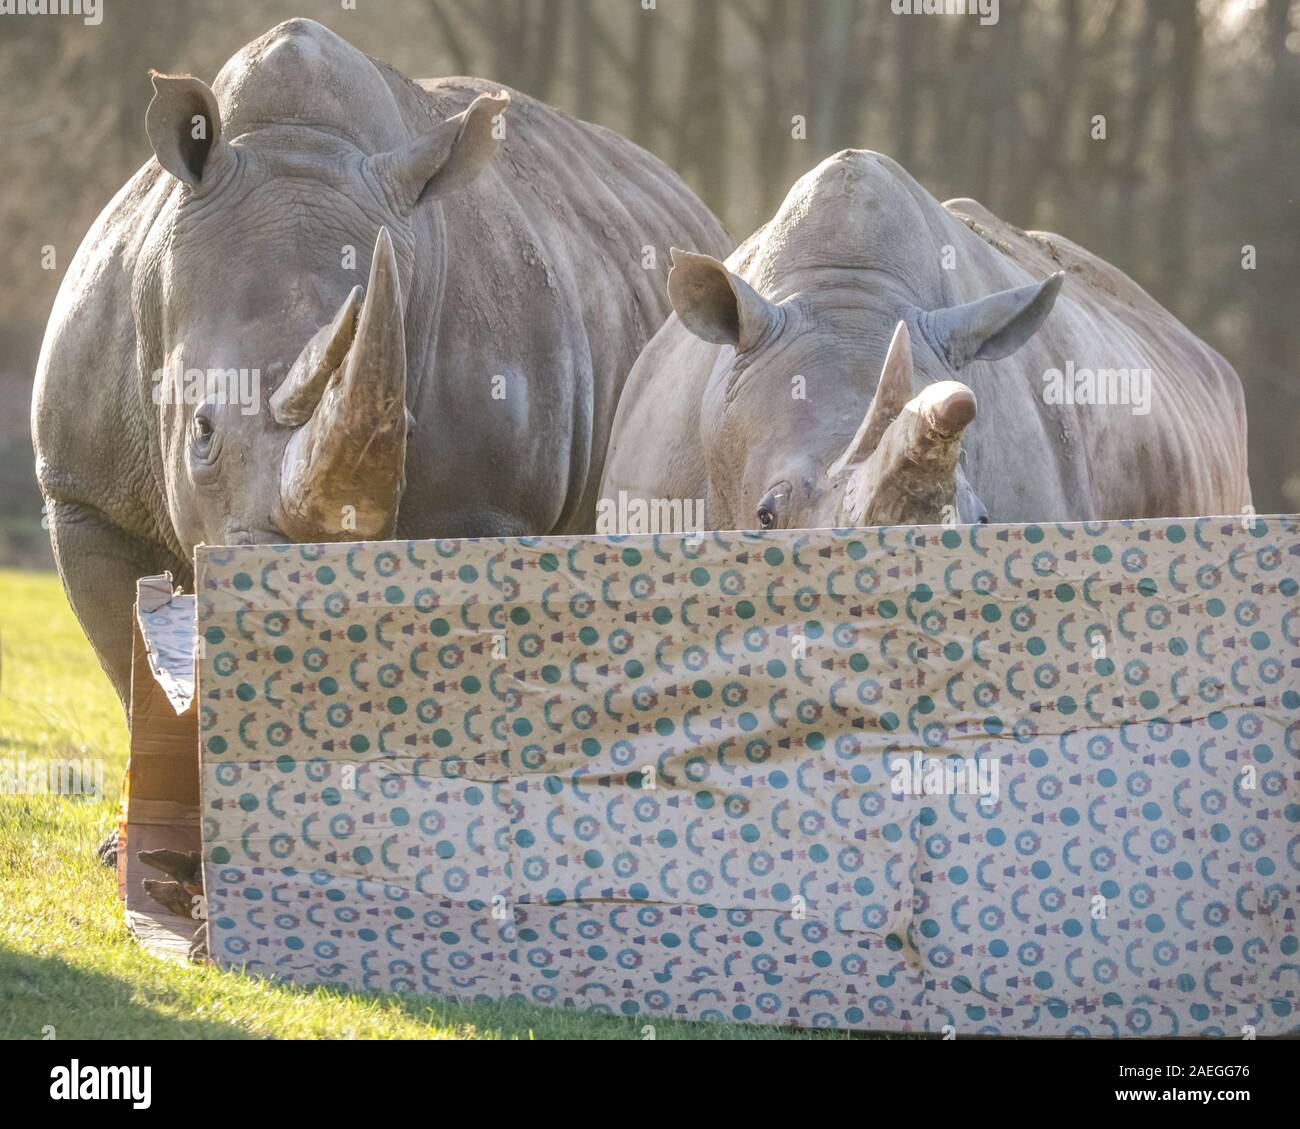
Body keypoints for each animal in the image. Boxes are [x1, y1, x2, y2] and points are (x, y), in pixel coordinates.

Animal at [32, 19, 730, 705]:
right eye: (201, 432)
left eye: (407, 433)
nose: (291, 599)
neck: (294, 137)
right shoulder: (83, 497)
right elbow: (125, 663)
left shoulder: (482, 512)